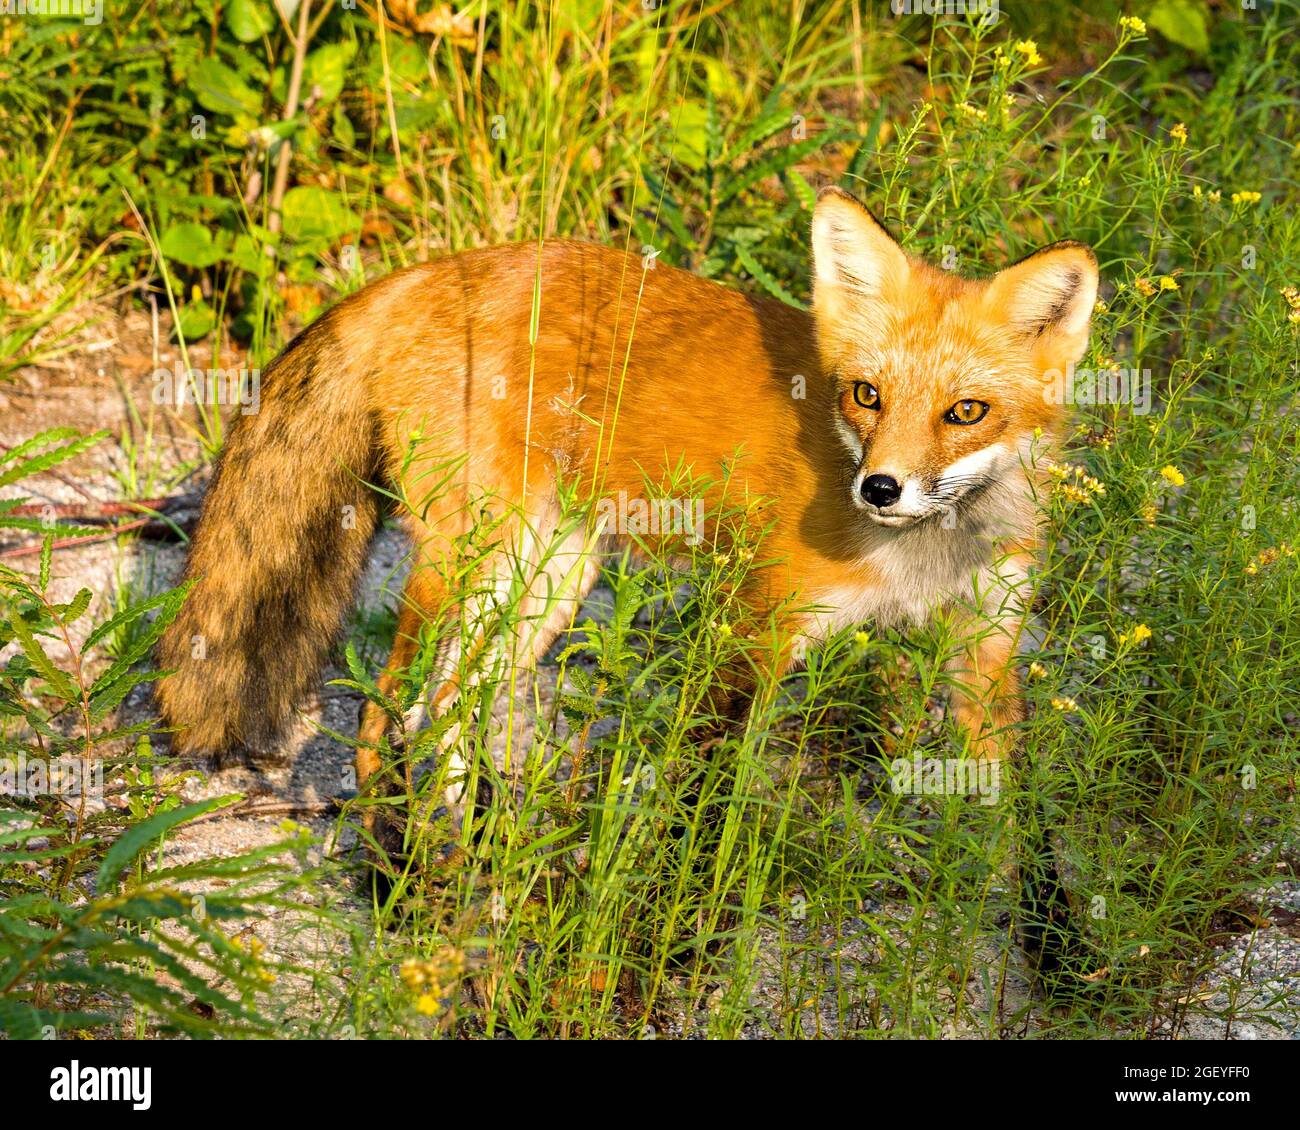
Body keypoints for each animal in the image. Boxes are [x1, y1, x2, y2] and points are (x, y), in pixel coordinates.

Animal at [156, 187, 1098, 864]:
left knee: (446, 708)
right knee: (387, 708)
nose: (880, 489)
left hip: (545, 582)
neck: (927, 554)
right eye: (867, 395)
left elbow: (1001, 827)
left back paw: (470, 850)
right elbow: (706, 796)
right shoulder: (757, 626)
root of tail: (429, 271)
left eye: (965, 412)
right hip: (474, 562)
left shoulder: (984, 650)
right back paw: (398, 858)